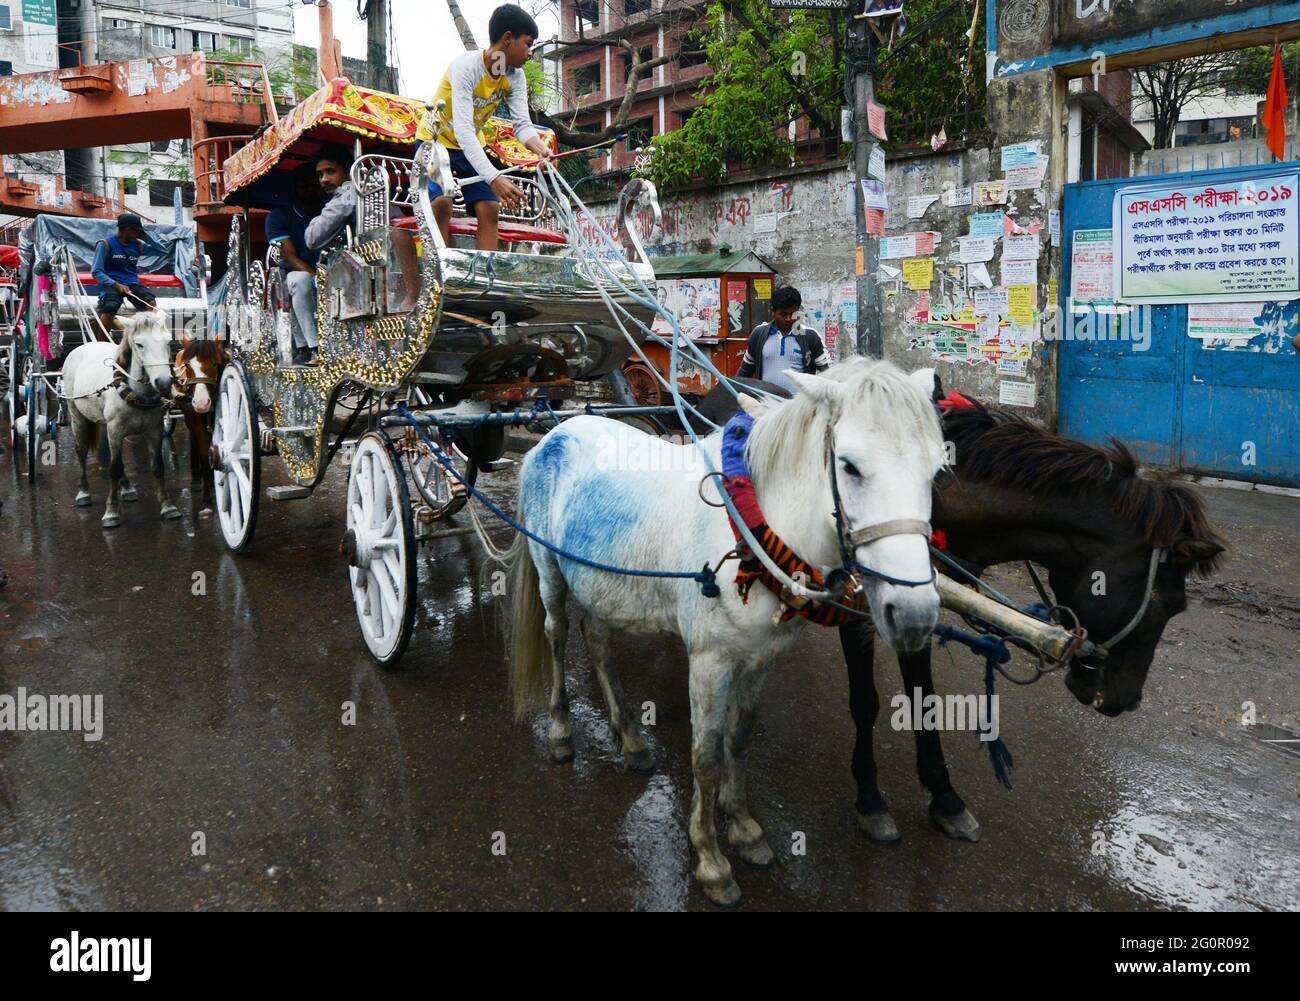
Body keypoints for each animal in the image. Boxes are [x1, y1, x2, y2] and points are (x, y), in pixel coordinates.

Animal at [62, 310, 180, 529]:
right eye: (140, 344)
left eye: (168, 342)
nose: (163, 382)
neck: (137, 394)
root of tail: (84, 345)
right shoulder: (115, 429)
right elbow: (113, 469)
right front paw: (111, 512)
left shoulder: (154, 430)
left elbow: (157, 466)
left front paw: (168, 506)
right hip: (77, 416)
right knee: (81, 451)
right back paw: (83, 492)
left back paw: (126, 488)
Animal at [172, 338, 229, 516]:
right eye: (187, 366)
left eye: (214, 363)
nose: (202, 403)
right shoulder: (198, 427)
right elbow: (205, 460)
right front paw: (206, 501)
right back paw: (197, 479)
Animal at [506, 358, 947, 906]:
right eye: (849, 466)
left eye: (935, 471)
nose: (914, 615)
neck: (752, 535)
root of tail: (555, 433)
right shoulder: (709, 662)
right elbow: (707, 756)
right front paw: (711, 860)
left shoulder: (759, 659)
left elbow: (739, 739)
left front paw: (744, 829)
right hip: (551, 574)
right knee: (558, 636)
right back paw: (562, 731)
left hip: (602, 582)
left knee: (601, 645)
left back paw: (630, 738)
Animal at [700, 371, 1227, 844]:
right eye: (1164, 604)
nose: (1125, 701)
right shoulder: (861, 605)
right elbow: (866, 701)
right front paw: (871, 798)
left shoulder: (915, 604)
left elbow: (924, 698)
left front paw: (945, 797)